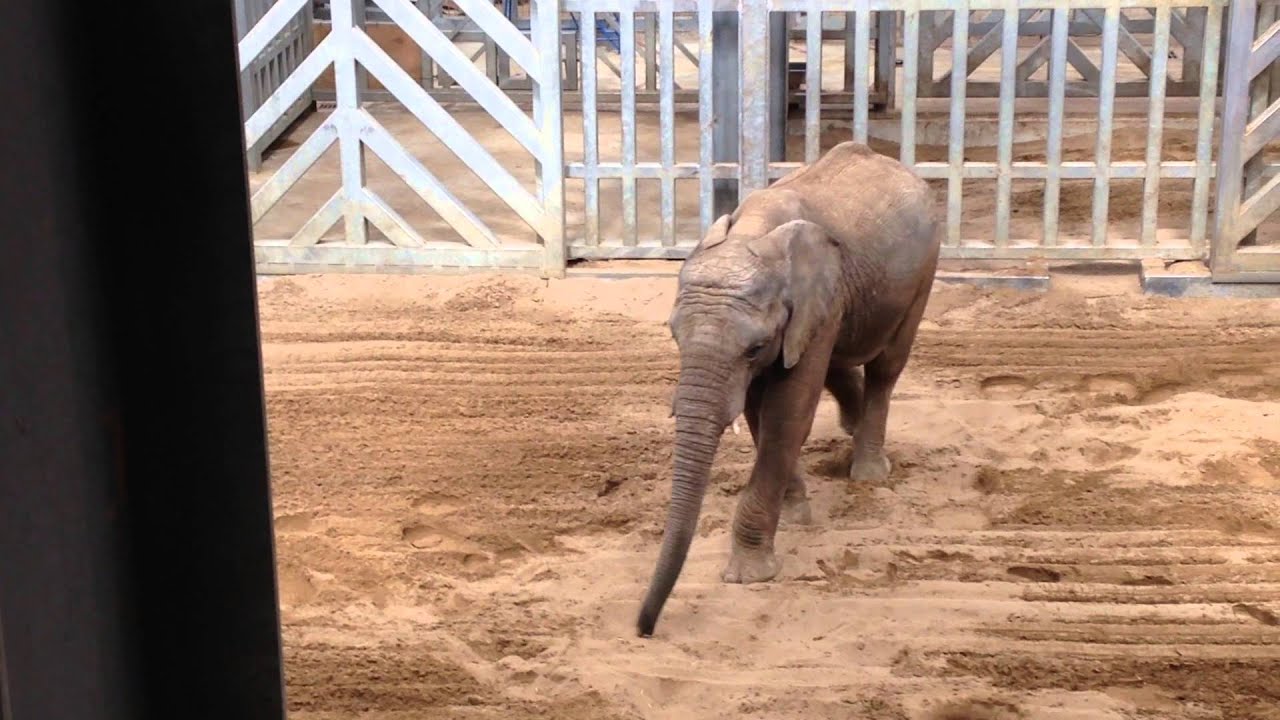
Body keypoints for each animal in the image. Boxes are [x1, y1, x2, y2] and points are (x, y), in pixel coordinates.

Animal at [635, 142, 942, 638]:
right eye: (674, 335)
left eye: (754, 347)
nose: (644, 630)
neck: (754, 230)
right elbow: (760, 413)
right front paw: (796, 514)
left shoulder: (819, 300)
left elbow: (786, 414)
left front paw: (750, 574)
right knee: (841, 363)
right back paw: (851, 426)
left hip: (924, 269)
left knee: (886, 367)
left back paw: (869, 471)